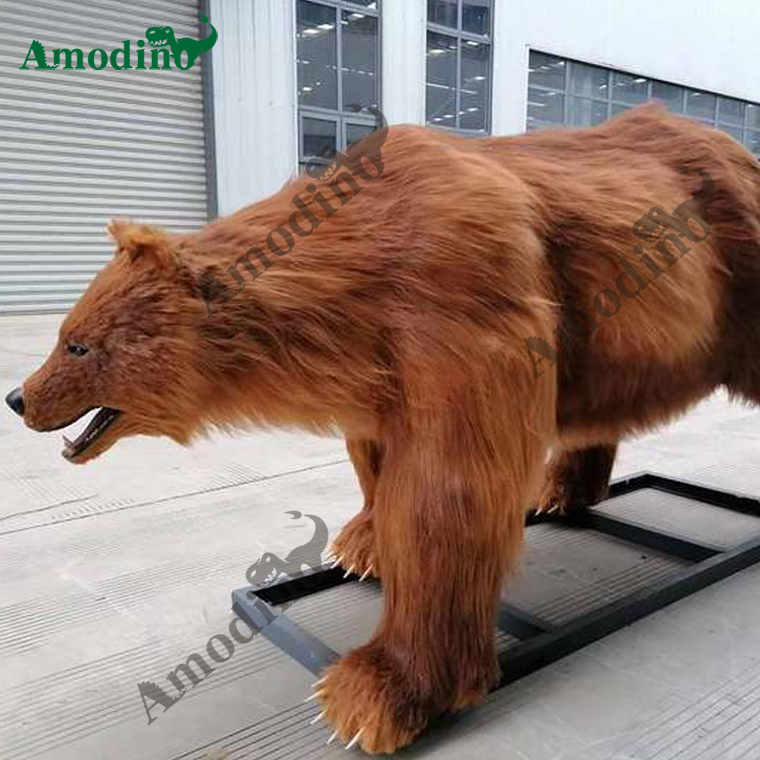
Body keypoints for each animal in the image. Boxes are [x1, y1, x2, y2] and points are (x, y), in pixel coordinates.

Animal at [7, 104, 760, 754]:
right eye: (65, 330)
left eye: (78, 345)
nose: (18, 397)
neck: (348, 294)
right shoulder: (377, 366)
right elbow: (373, 457)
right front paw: (360, 544)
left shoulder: (460, 301)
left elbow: (447, 496)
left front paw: (372, 692)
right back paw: (563, 491)